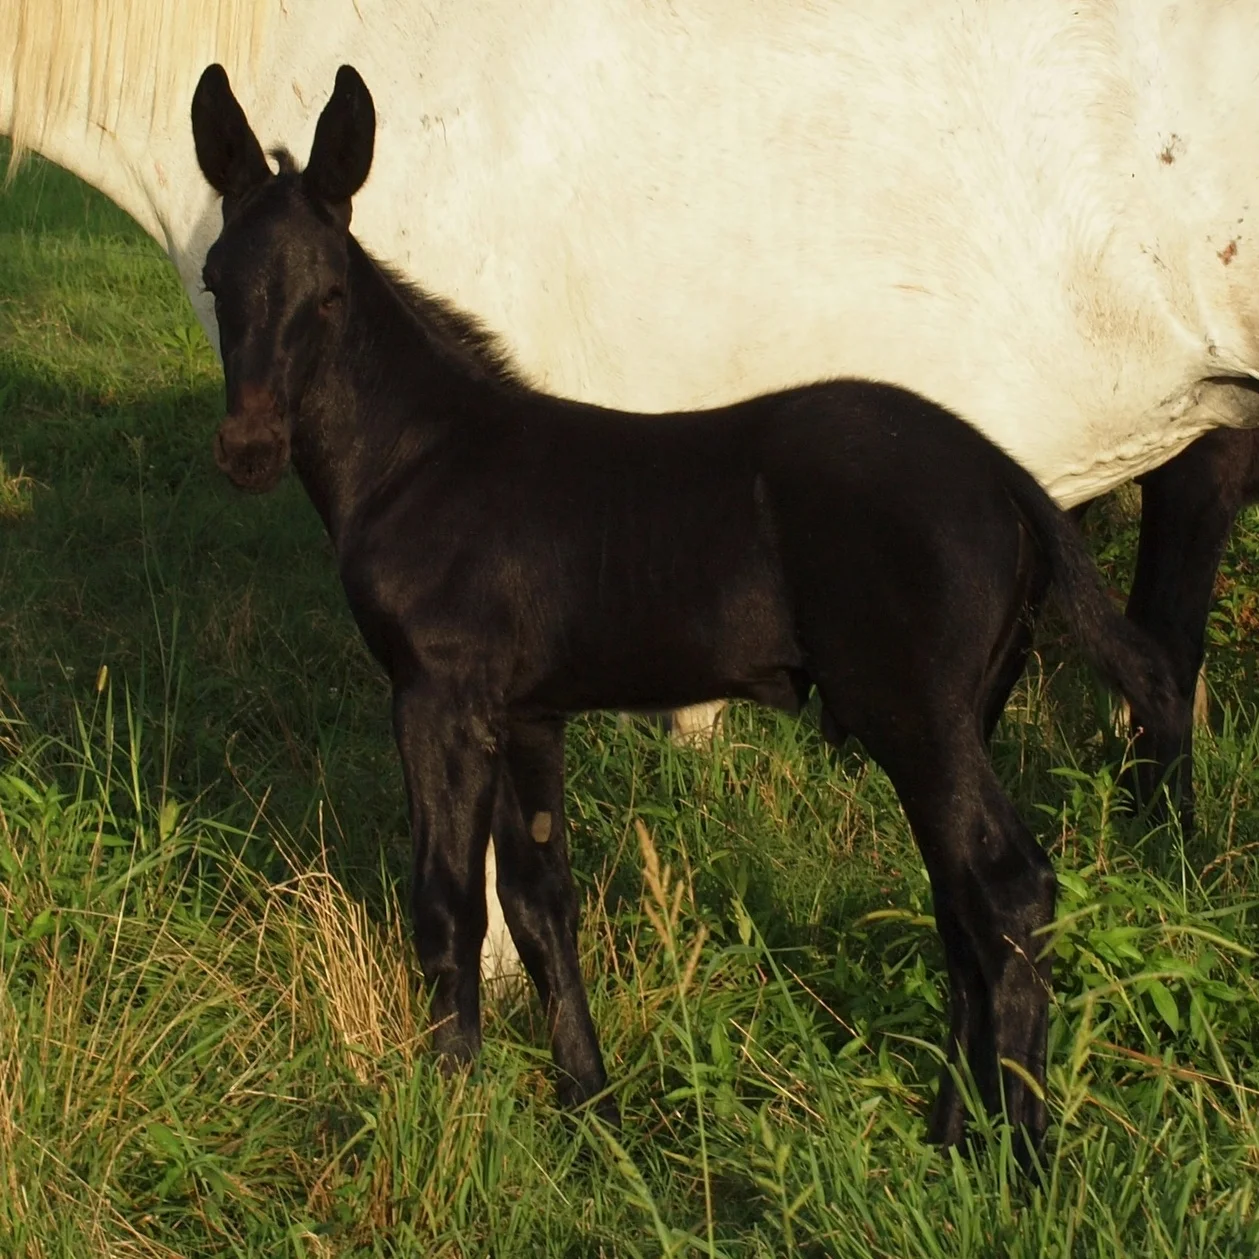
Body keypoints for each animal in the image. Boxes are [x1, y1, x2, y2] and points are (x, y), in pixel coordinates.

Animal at [191, 61, 1179, 1160]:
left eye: (328, 294)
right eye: (216, 282)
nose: (248, 452)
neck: (417, 456)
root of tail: (1004, 474)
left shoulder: (436, 692)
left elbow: (448, 903)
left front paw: (446, 1119)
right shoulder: (526, 709)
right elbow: (539, 905)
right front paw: (589, 1109)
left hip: (913, 712)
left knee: (1007, 890)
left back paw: (1021, 1158)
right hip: (966, 712)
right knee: (959, 904)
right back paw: (947, 1141)